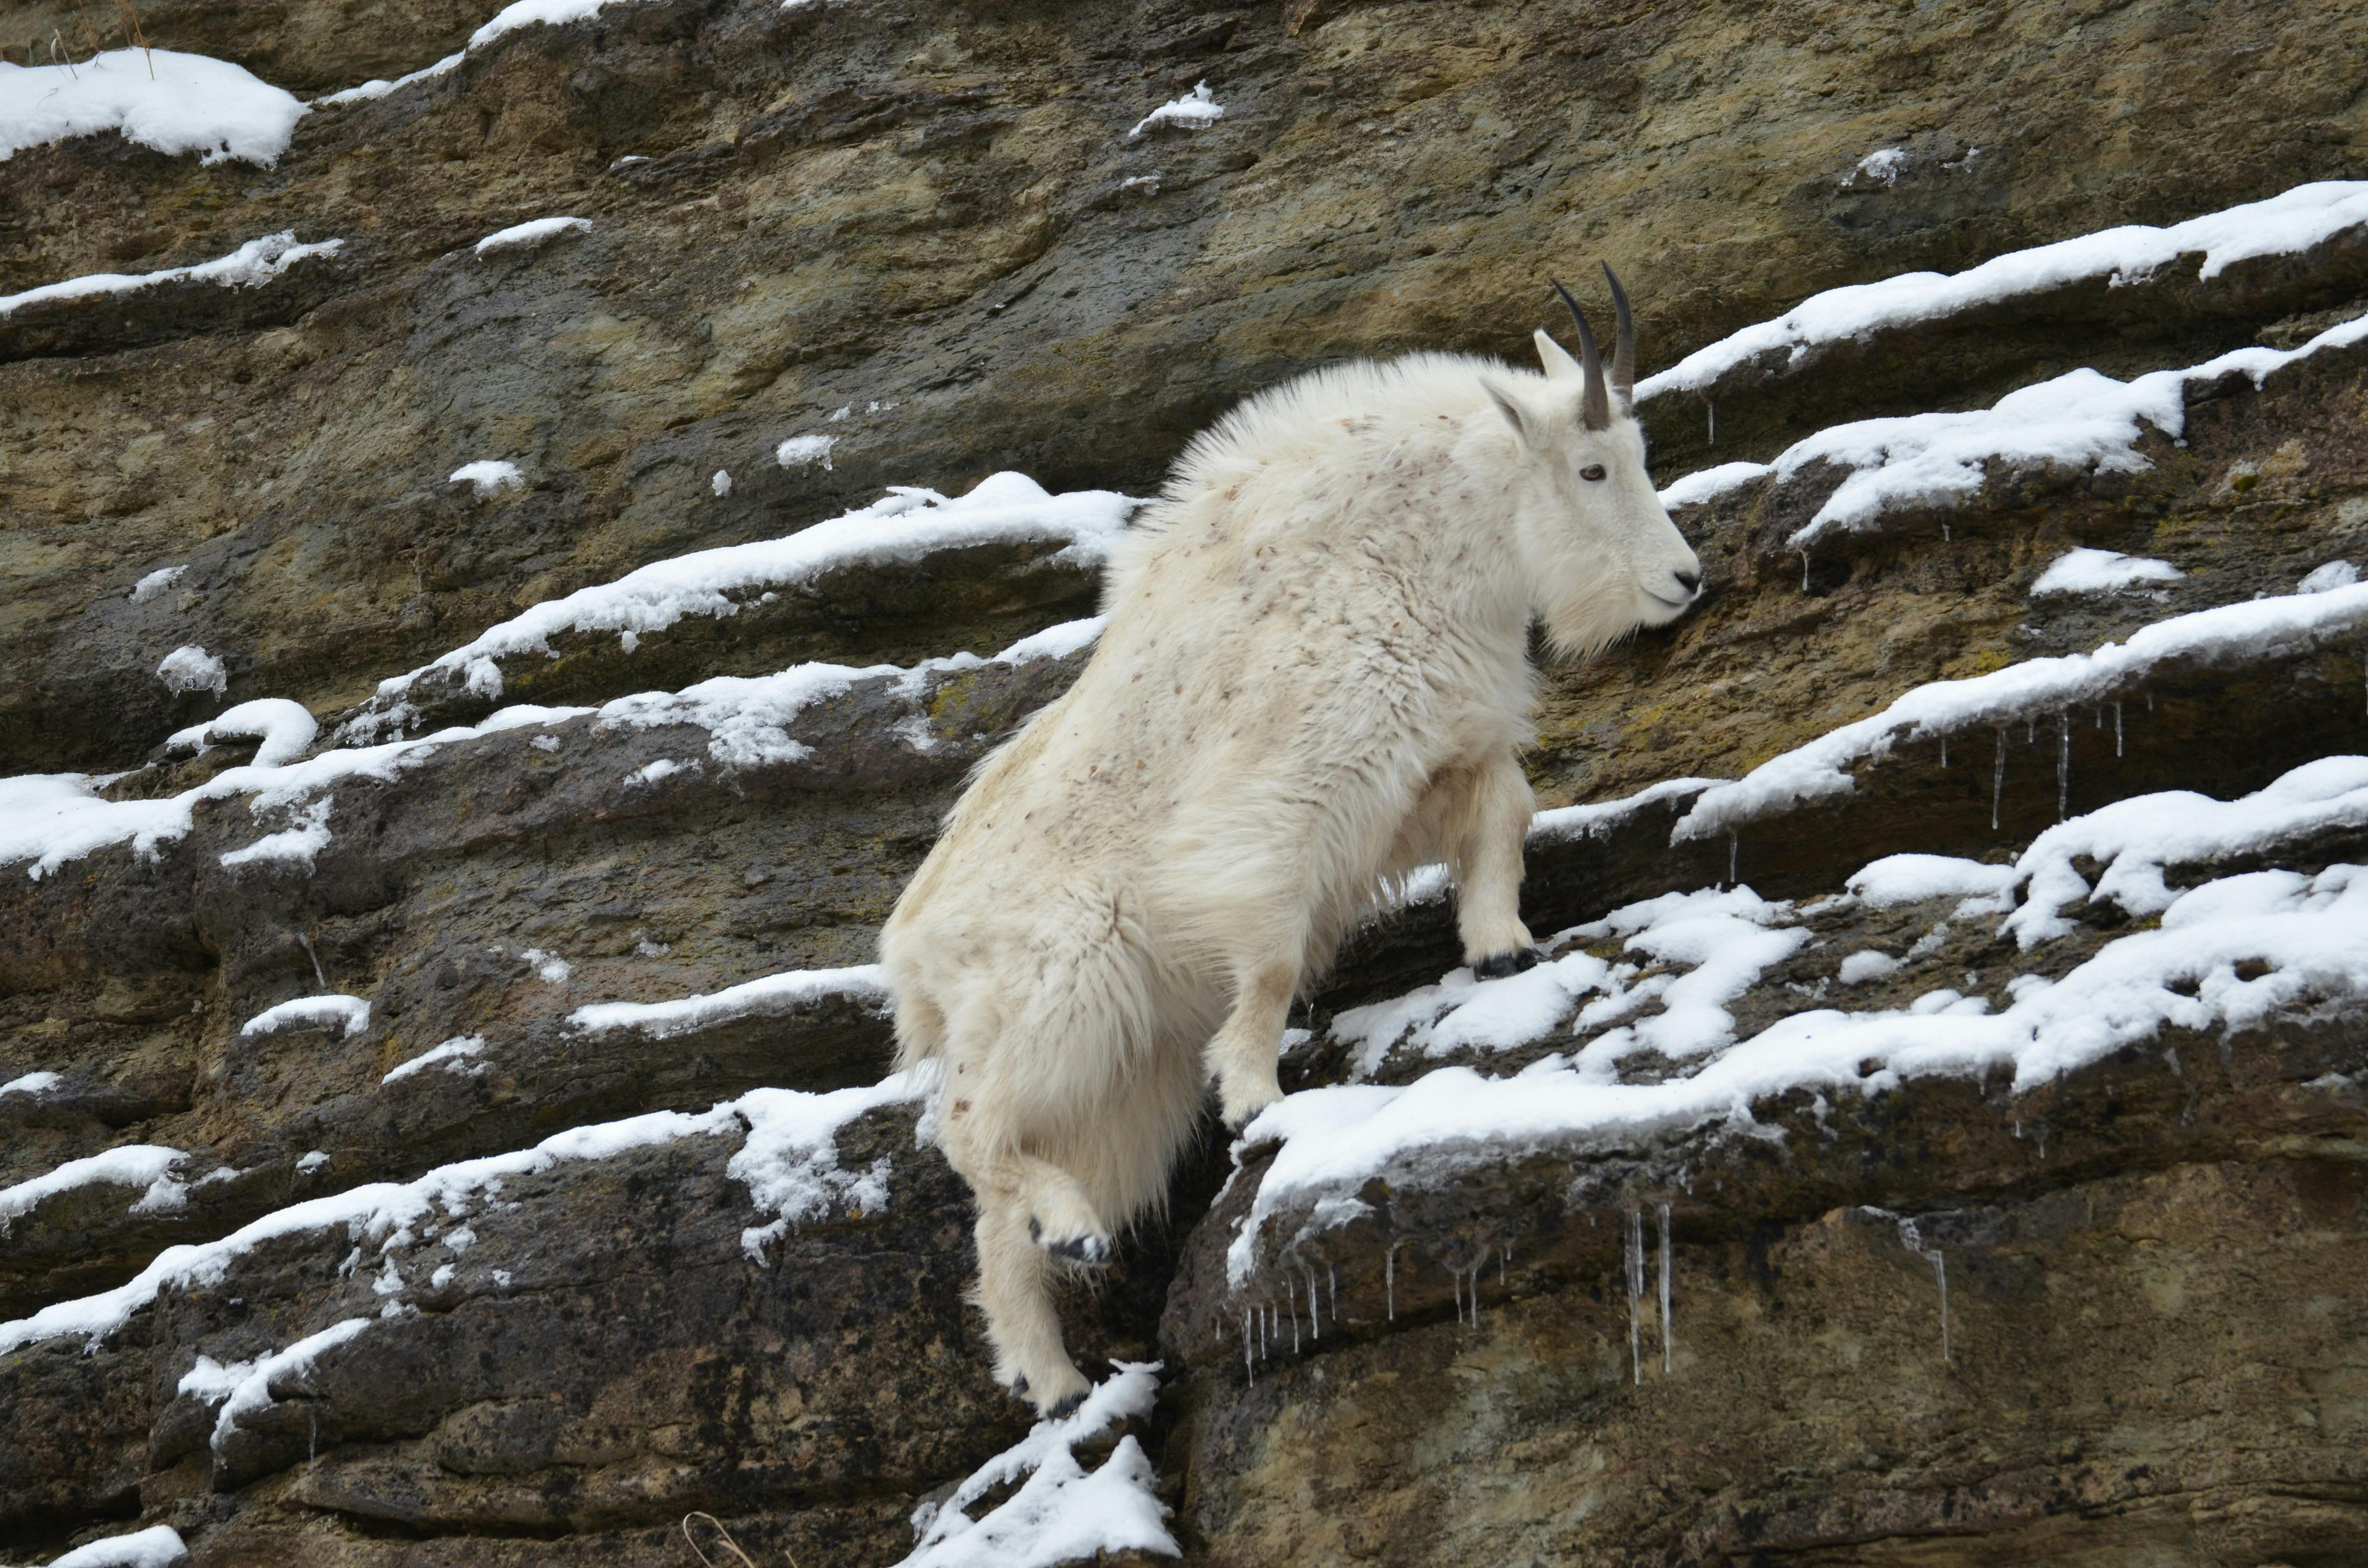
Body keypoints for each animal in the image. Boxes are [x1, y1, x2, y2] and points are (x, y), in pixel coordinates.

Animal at [880, 269, 1703, 1416]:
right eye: (1591, 465)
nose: (1684, 581)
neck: (1400, 556)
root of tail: (908, 955)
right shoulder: (1275, 814)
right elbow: (1268, 962)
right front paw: (1255, 1096)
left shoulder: (1445, 752)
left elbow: (1504, 821)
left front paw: (1502, 947)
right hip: (1063, 996)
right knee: (970, 1134)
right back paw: (1077, 1240)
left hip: (1115, 1078)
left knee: (1001, 1230)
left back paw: (1055, 1371)